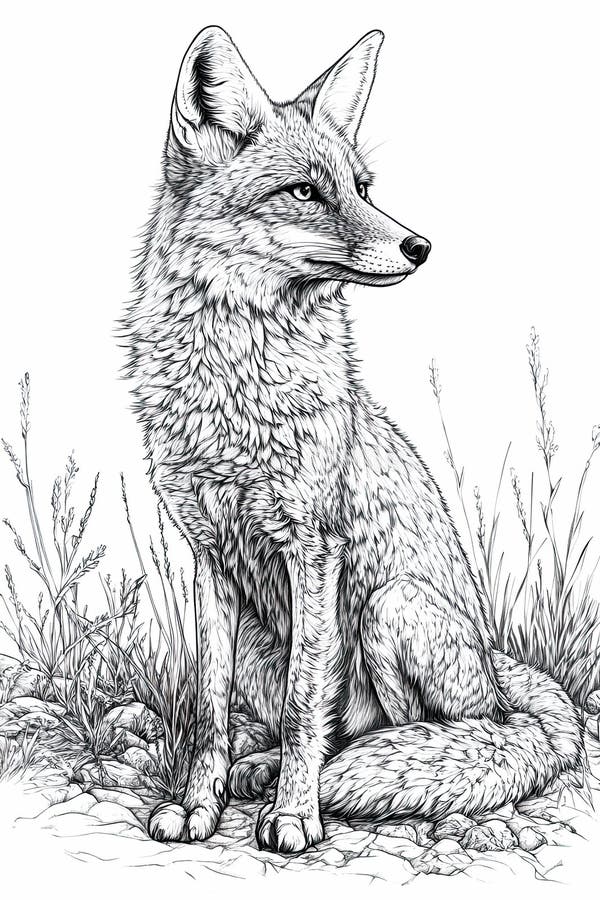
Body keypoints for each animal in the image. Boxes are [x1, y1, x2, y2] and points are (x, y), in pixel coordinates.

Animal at [122, 25, 582, 853]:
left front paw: (295, 816)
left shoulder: (316, 545)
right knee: (336, 727)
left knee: (423, 731)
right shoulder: (209, 561)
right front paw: (201, 807)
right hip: (267, 639)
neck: (237, 394)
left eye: (363, 188)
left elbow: (308, 705)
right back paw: (262, 772)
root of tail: (502, 673)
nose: (420, 246)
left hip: (390, 608)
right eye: (306, 192)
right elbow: (210, 712)